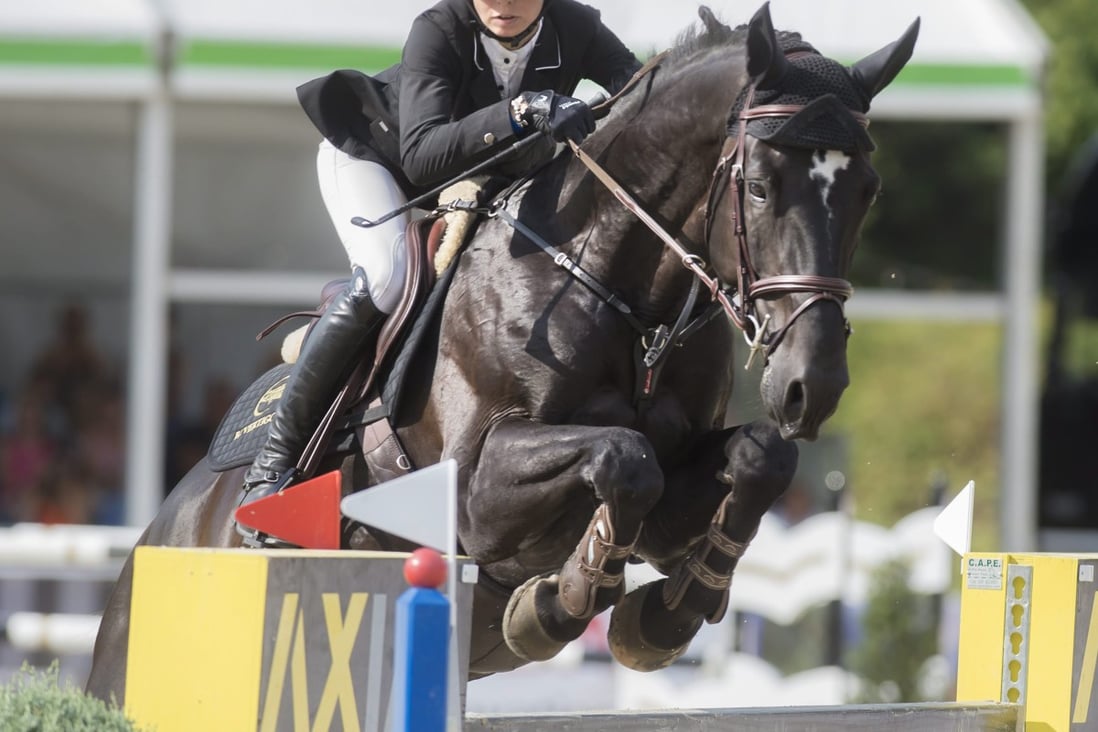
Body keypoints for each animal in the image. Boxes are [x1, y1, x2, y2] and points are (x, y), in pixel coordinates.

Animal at [86, 3, 918, 703]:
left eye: (869, 191)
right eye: (760, 186)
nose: (814, 384)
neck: (617, 291)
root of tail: (154, 539)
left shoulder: (682, 479)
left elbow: (758, 458)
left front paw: (666, 614)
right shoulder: (477, 489)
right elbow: (624, 457)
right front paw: (561, 600)